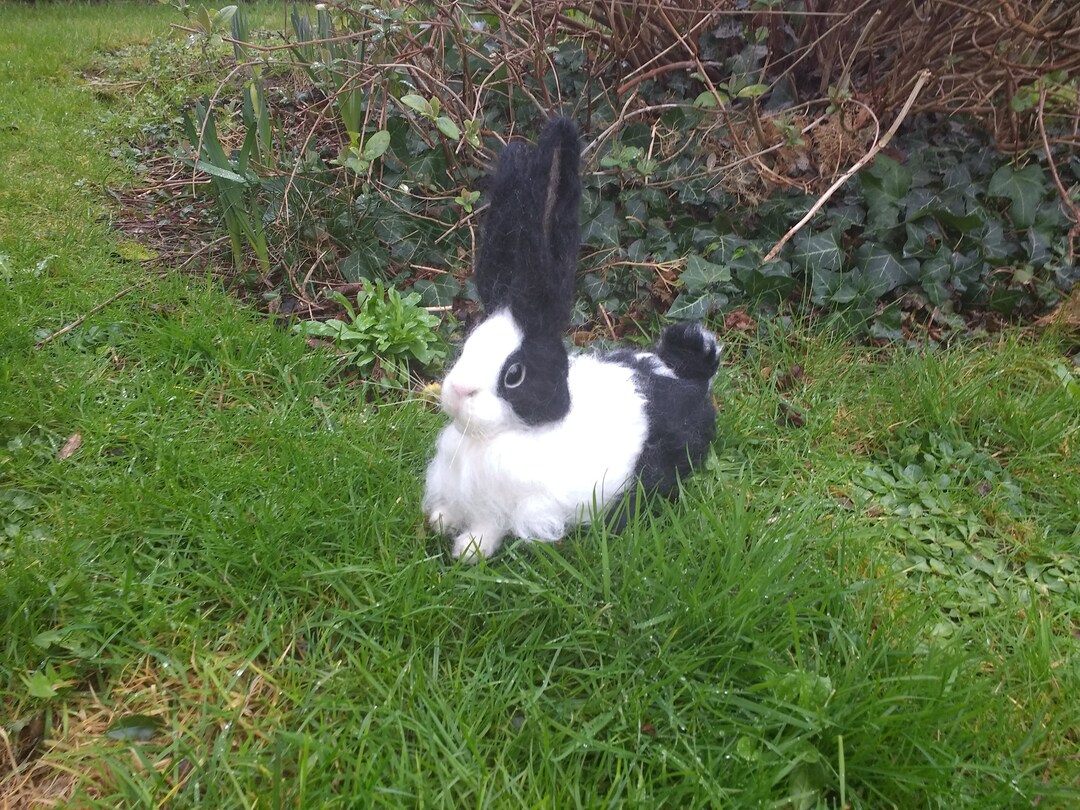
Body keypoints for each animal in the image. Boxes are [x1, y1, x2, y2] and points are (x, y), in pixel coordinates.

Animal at [423, 117, 721, 562]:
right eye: (467, 344)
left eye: (514, 374)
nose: (457, 391)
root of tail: (685, 373)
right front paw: (439, 520)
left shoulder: (512, 508)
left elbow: (489, 527)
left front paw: (468, 550)